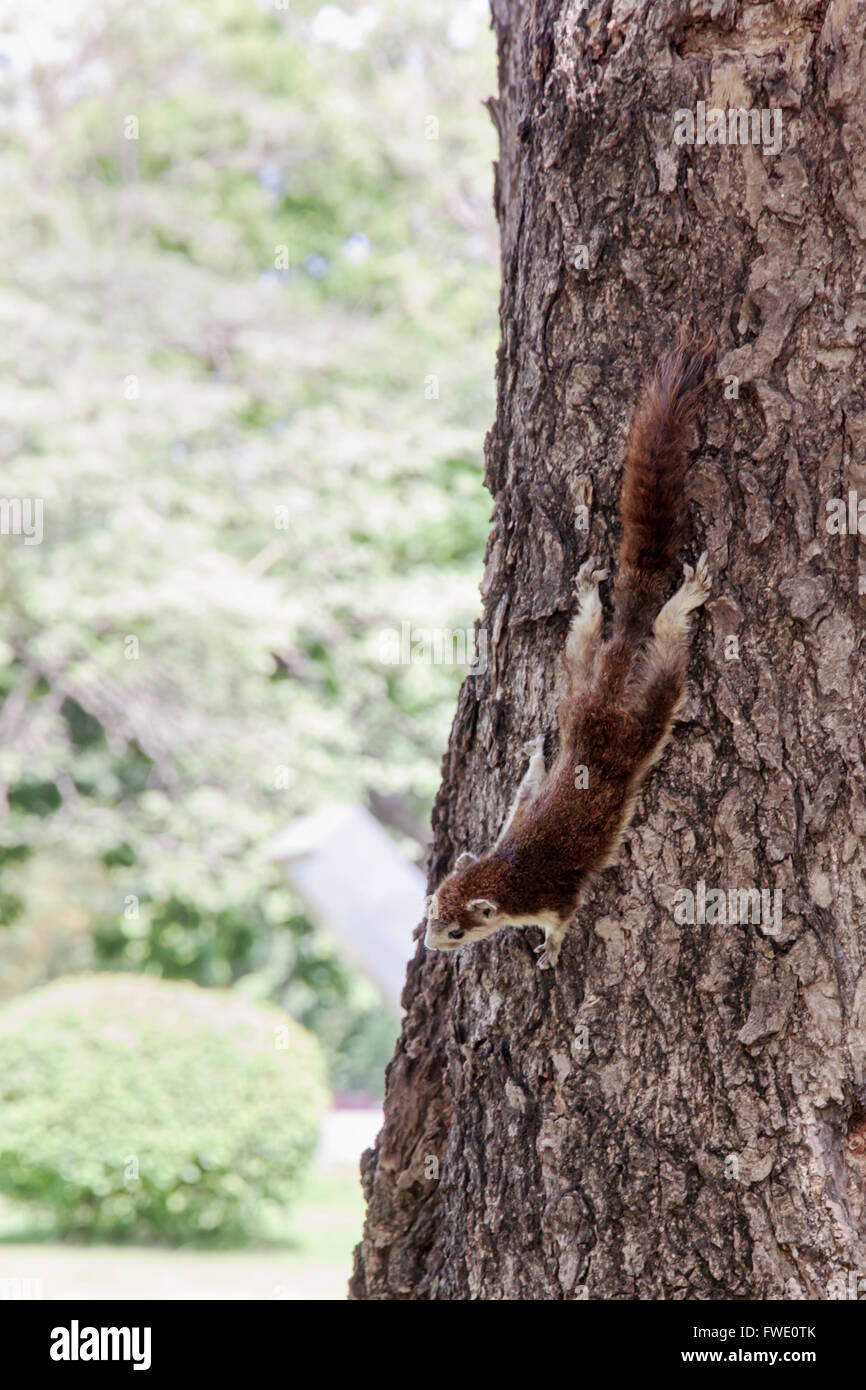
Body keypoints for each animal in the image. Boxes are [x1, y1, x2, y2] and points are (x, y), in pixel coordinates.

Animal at [425, 335, 713, 969]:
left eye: (456, 930)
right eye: (431, 903)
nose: (430, 943)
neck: (504, 874)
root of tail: (611, 684)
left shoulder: (555, 896)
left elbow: (563, 920)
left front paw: (551, 952)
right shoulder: (516, 820)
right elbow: (528, 786)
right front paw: (534, 755)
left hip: (647, 713)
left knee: (668, 641)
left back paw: (681, 601)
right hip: (577, 679)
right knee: (590, 631)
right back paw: (588, 596)